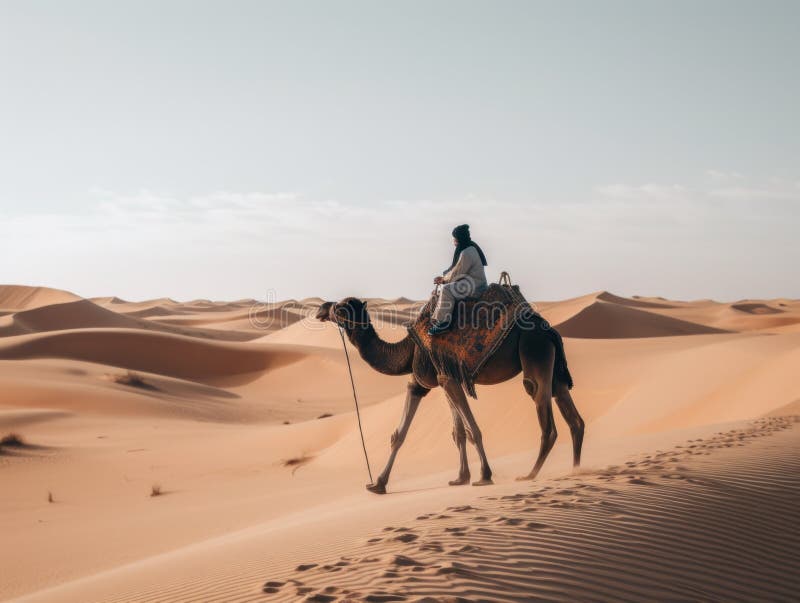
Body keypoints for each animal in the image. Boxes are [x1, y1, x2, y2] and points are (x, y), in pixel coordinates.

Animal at [316, 297, 584, 494]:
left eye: (340, 307)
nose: (321, 308)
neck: (408, 349)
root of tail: (549, 330)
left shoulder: (447, 379)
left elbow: (472, 431)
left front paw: (484, 476)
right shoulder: (430, 382)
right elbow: (437, 434)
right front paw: (379, 484)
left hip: (534, 349)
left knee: (542, 406)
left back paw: (530, 474)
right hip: (554, 364)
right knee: (572, 414)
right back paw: (575, 470)